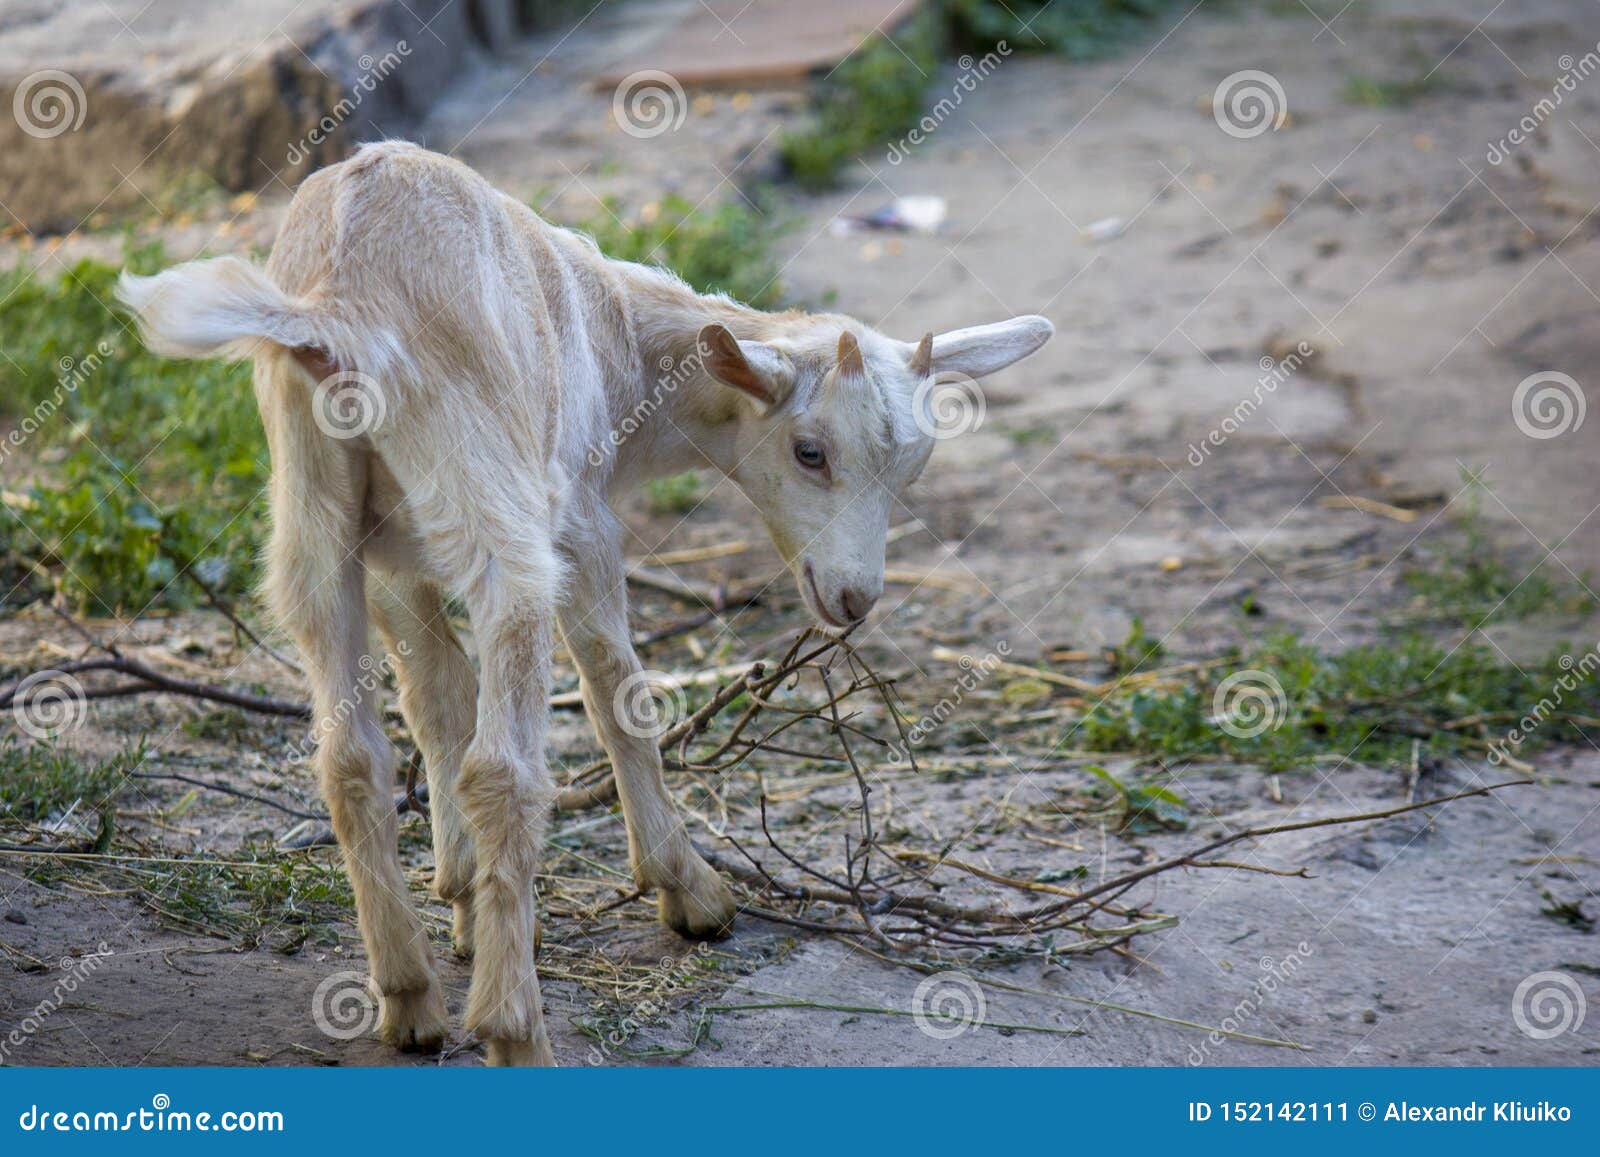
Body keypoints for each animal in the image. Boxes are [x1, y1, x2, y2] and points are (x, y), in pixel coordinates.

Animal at [117, 142, 1052, 1065]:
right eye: (809, 451)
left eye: (912, 468)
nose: (855, 596)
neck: (621, 346)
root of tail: (338, 301)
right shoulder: (582, 522)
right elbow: (616, 691)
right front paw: (686, 889)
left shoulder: (394, 557)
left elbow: (439, 695)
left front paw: (462, 896)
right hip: (493, 498)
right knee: (503, 766)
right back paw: (514, 1026)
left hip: (315, 507)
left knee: (349, 756)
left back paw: (409, 994)